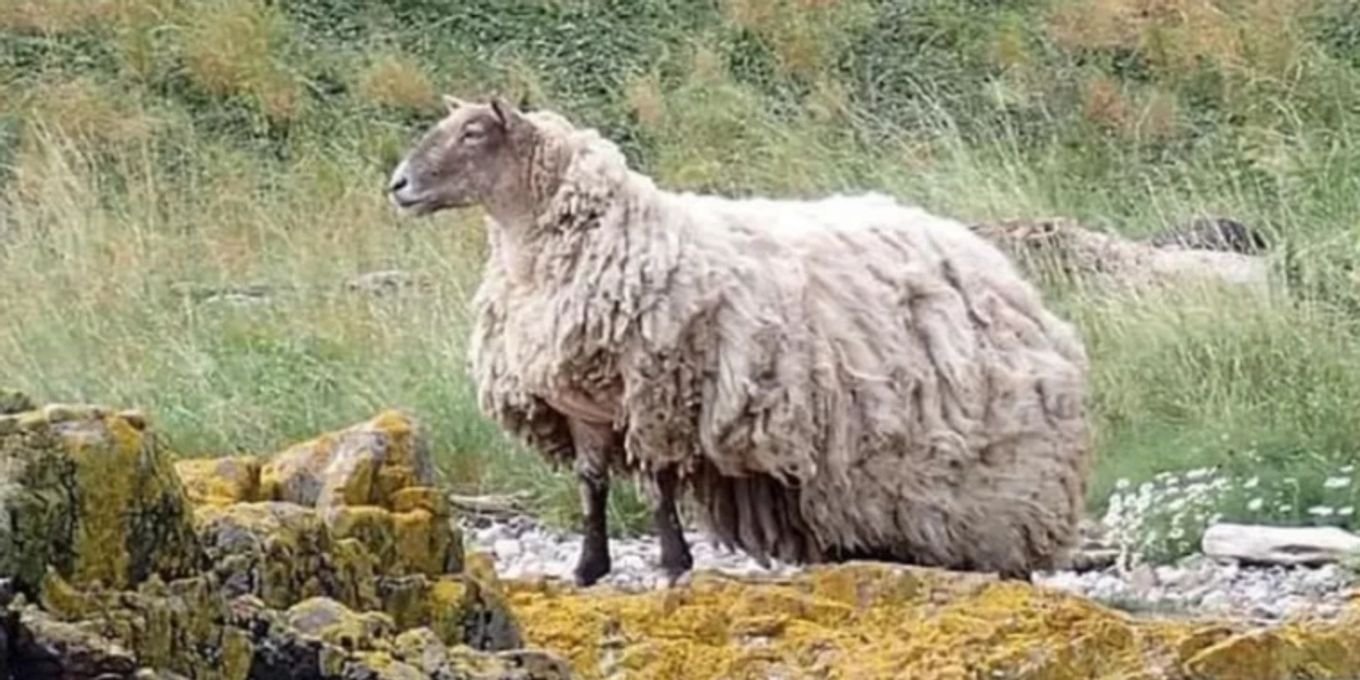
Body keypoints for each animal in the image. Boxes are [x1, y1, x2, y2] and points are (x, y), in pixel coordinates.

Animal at [386, 95, 1093, 587]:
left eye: (473, 133)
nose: (397, 185)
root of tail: (1008, 278)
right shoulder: (581, 404)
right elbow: (592, 487)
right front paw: (588, 569)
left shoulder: (657, 392)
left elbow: (659, 485)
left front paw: (675, 564)